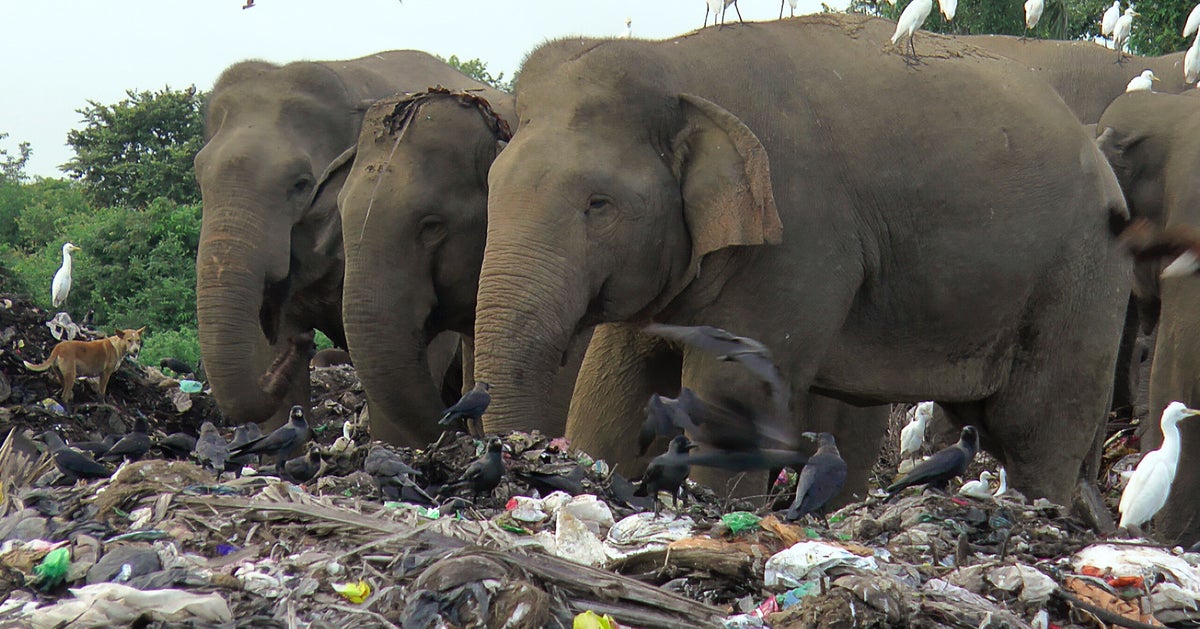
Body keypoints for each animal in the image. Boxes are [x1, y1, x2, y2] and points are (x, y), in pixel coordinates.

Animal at [472, 14, 1132, 511]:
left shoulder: (798, 236)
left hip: (1083, 275)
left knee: (1035, 431)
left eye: (598, 204)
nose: (515, 458)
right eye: (491, 183)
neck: (677, 63)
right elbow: (620, 383)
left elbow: (735, 387)